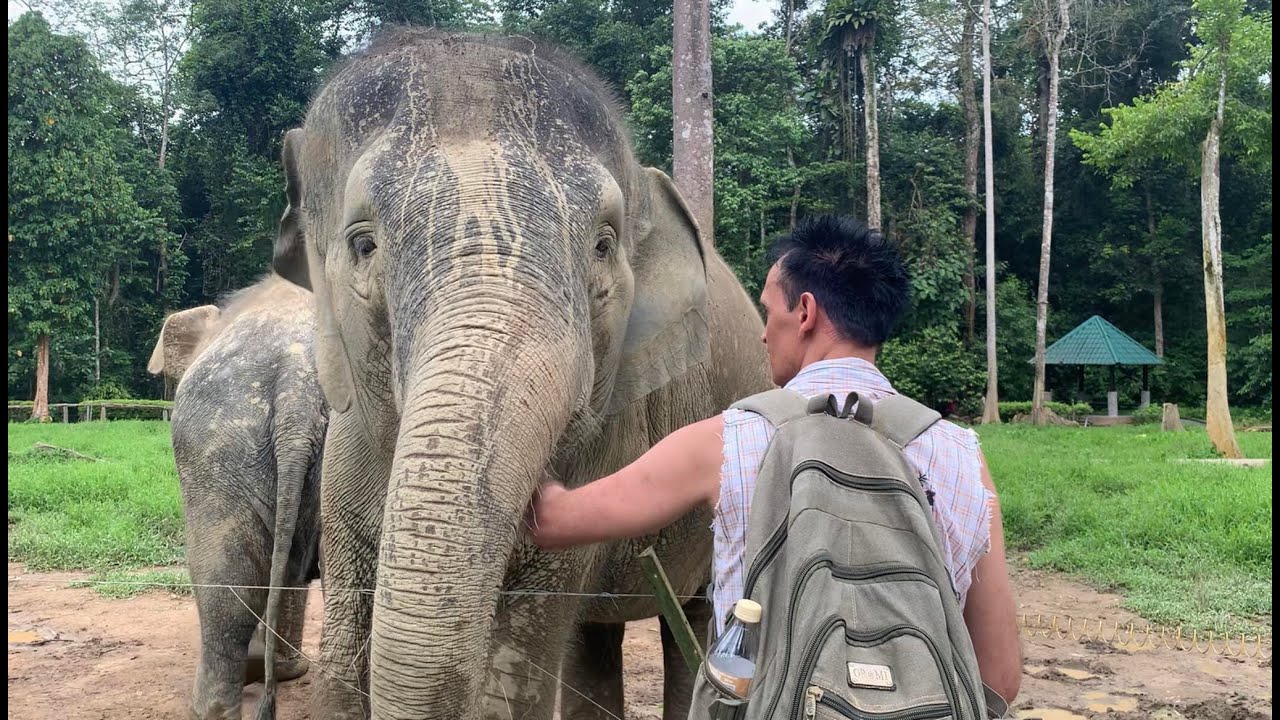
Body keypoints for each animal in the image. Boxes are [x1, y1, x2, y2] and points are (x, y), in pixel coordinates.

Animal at [269, 30, 772, 720]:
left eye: (603, 245)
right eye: (363, 244)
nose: (541, 493)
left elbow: (514, 667)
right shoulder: (343, 463)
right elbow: (344, 661)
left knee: (690, 621)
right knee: (594, 635)